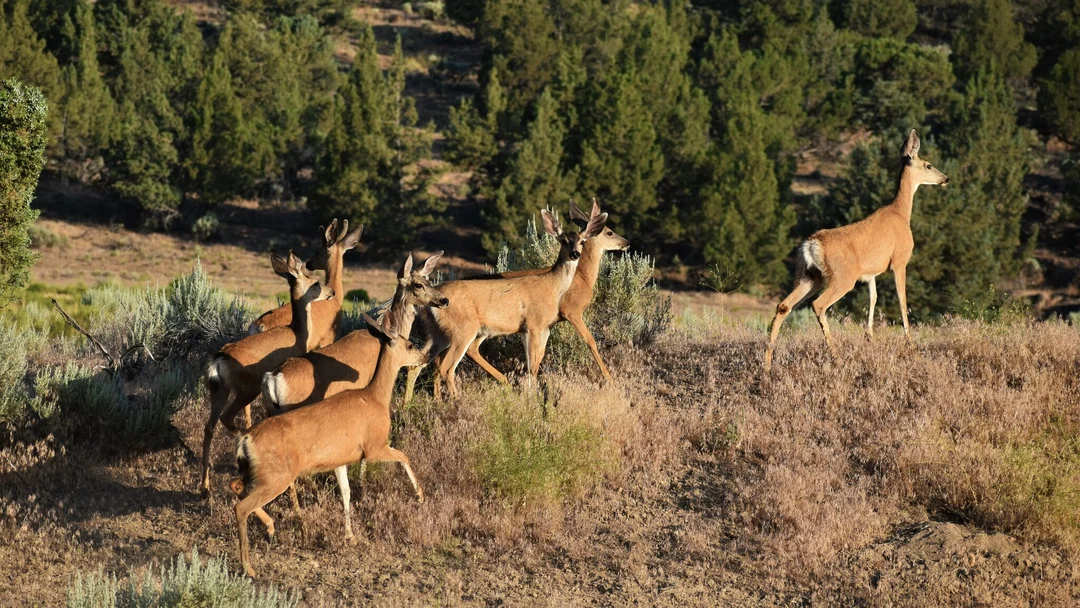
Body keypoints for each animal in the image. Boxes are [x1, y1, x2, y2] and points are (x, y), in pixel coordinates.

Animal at [199, 251, 335, 496]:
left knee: (209, 428)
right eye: (315, 282)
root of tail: (218, 360)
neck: (297, 332)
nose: (332, 292)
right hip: (246, 389)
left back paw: (205, 487)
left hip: (219, 390)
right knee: (227, 418)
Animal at [230, 312, 429, 578]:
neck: (375, 397)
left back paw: (270, 528)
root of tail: (246, 439)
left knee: (235, 485)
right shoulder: (374, 446)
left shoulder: (340, 459)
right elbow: (404, 456)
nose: (425, 358)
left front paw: (350, 536)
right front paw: (420, 495)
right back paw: (249, 566)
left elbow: (345, 492)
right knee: (241, 507)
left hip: (256, 472)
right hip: (276, 476)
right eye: (409, 345)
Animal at [425, 198, 627, 389]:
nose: (626, 242)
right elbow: (587, 342)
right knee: (447, 367)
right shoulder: (552, 317)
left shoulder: (545, 326)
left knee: (435, 360)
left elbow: (535, 362)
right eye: (609, 232)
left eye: (582, 241)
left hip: (452, 331)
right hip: (464, 329)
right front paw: (609, 378)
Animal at [763, 129, 949, 372]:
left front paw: (869, 338)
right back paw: (836, 356)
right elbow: (902, 301)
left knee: (784, 305)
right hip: (843, 277)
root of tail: (812, 244)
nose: (945, 178)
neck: (900, 213)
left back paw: (766, 363)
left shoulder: (869, 273)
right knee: (818, 305)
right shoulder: (899, 261)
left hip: (810, 276)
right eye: (928, 165)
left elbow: (873, 298)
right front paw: (912, 347)